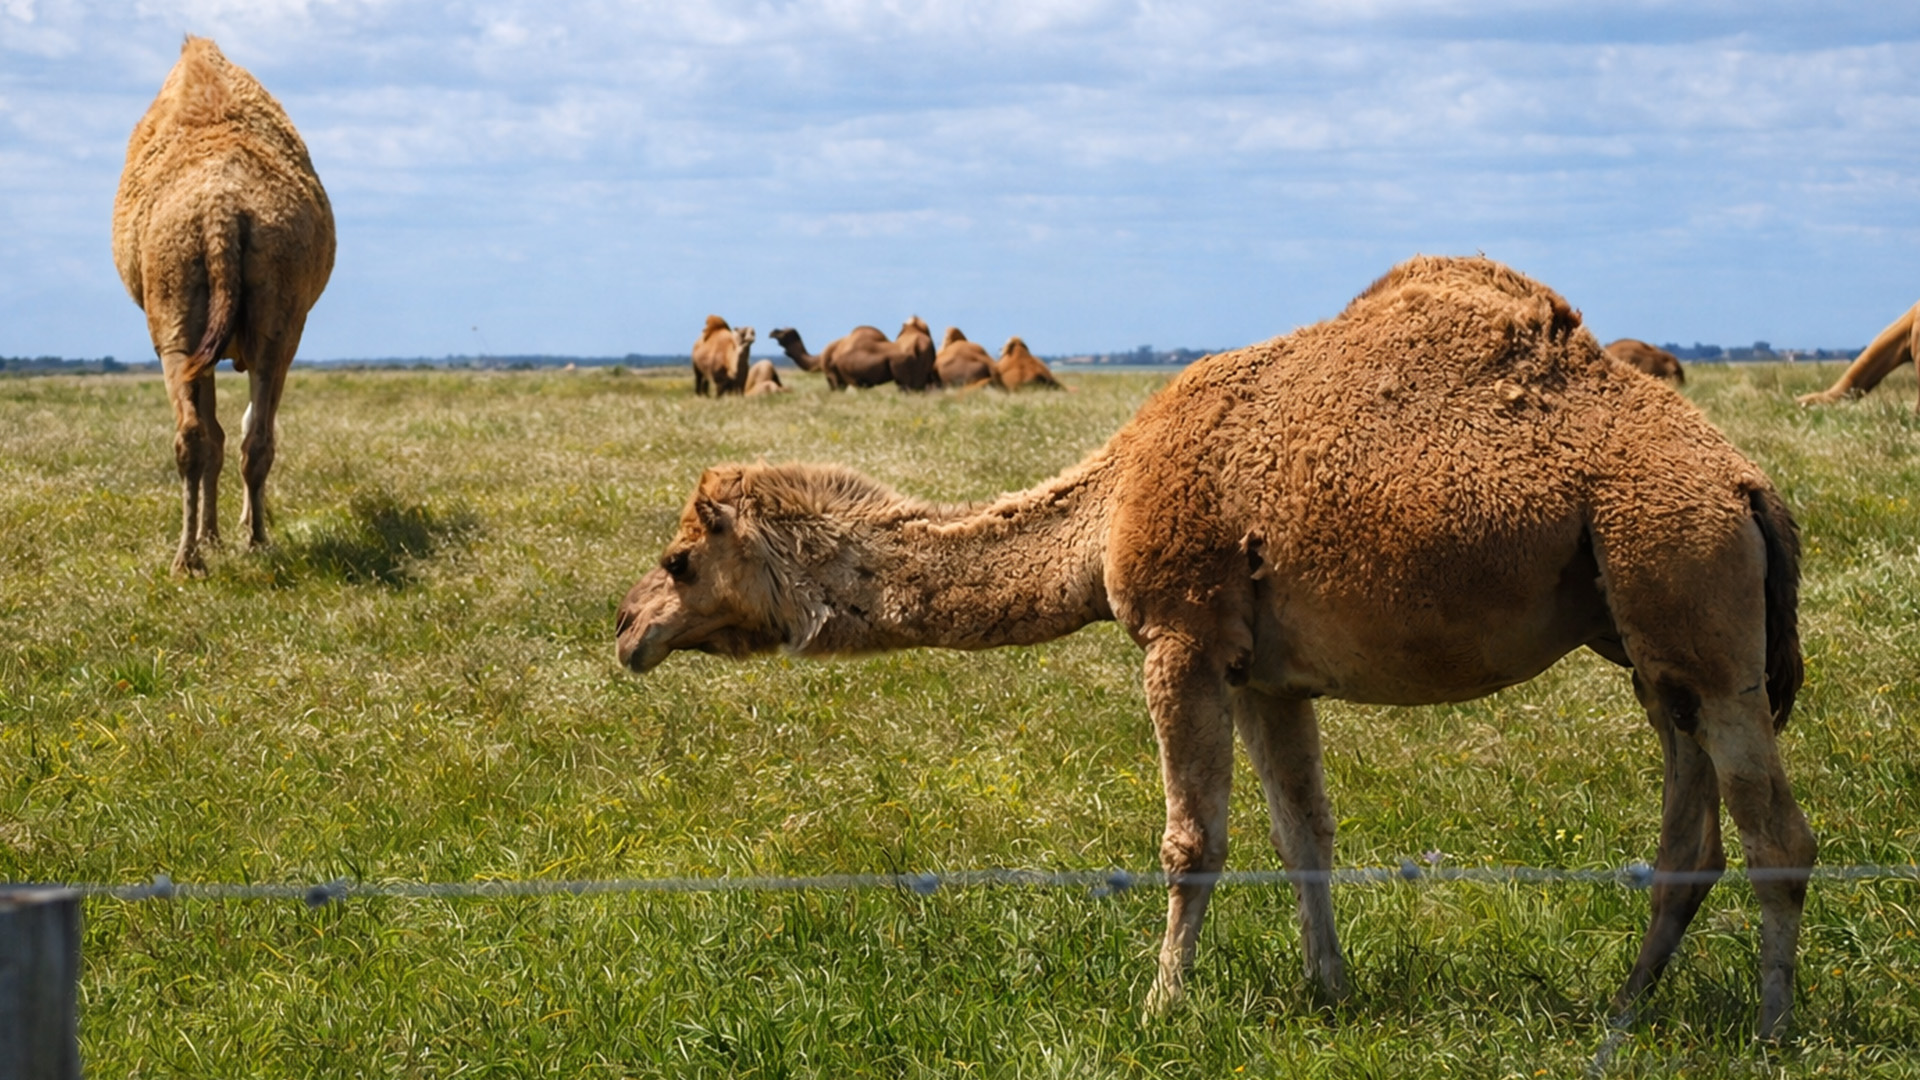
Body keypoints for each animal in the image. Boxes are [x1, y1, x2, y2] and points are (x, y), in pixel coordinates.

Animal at [112, 36, 335, 576]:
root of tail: (219, 211)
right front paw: (220, 535)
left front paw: (213, 537)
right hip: (269, 321)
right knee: (244, 437)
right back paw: (238, 546)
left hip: (176, 322)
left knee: (206, 435)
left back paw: (202, 554)